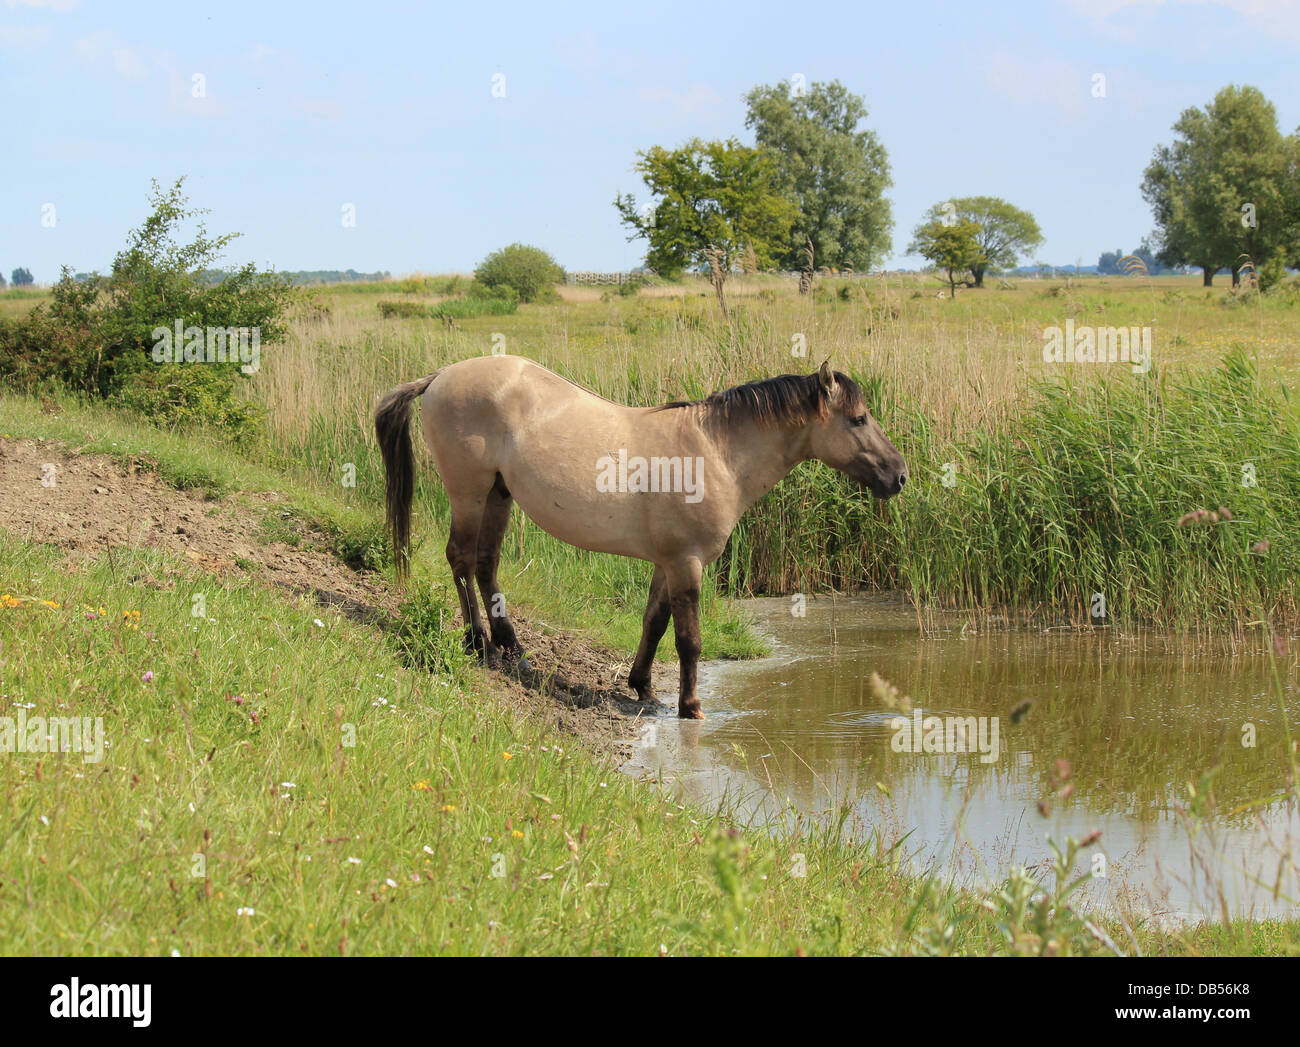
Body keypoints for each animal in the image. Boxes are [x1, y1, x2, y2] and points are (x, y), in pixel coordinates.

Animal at [375, 355, 907, 719]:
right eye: (859, 419)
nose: (898, 476)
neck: (715, 452)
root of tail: (440, 377)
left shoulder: (666, 562)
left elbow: (654, 622)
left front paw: (643, 687)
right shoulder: (686, 562)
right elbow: (689, 639)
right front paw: (690, 706)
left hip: (498, 495)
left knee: (486, 563)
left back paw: (512, 646)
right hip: (469, 492)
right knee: (461, 559)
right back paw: (477, 641)